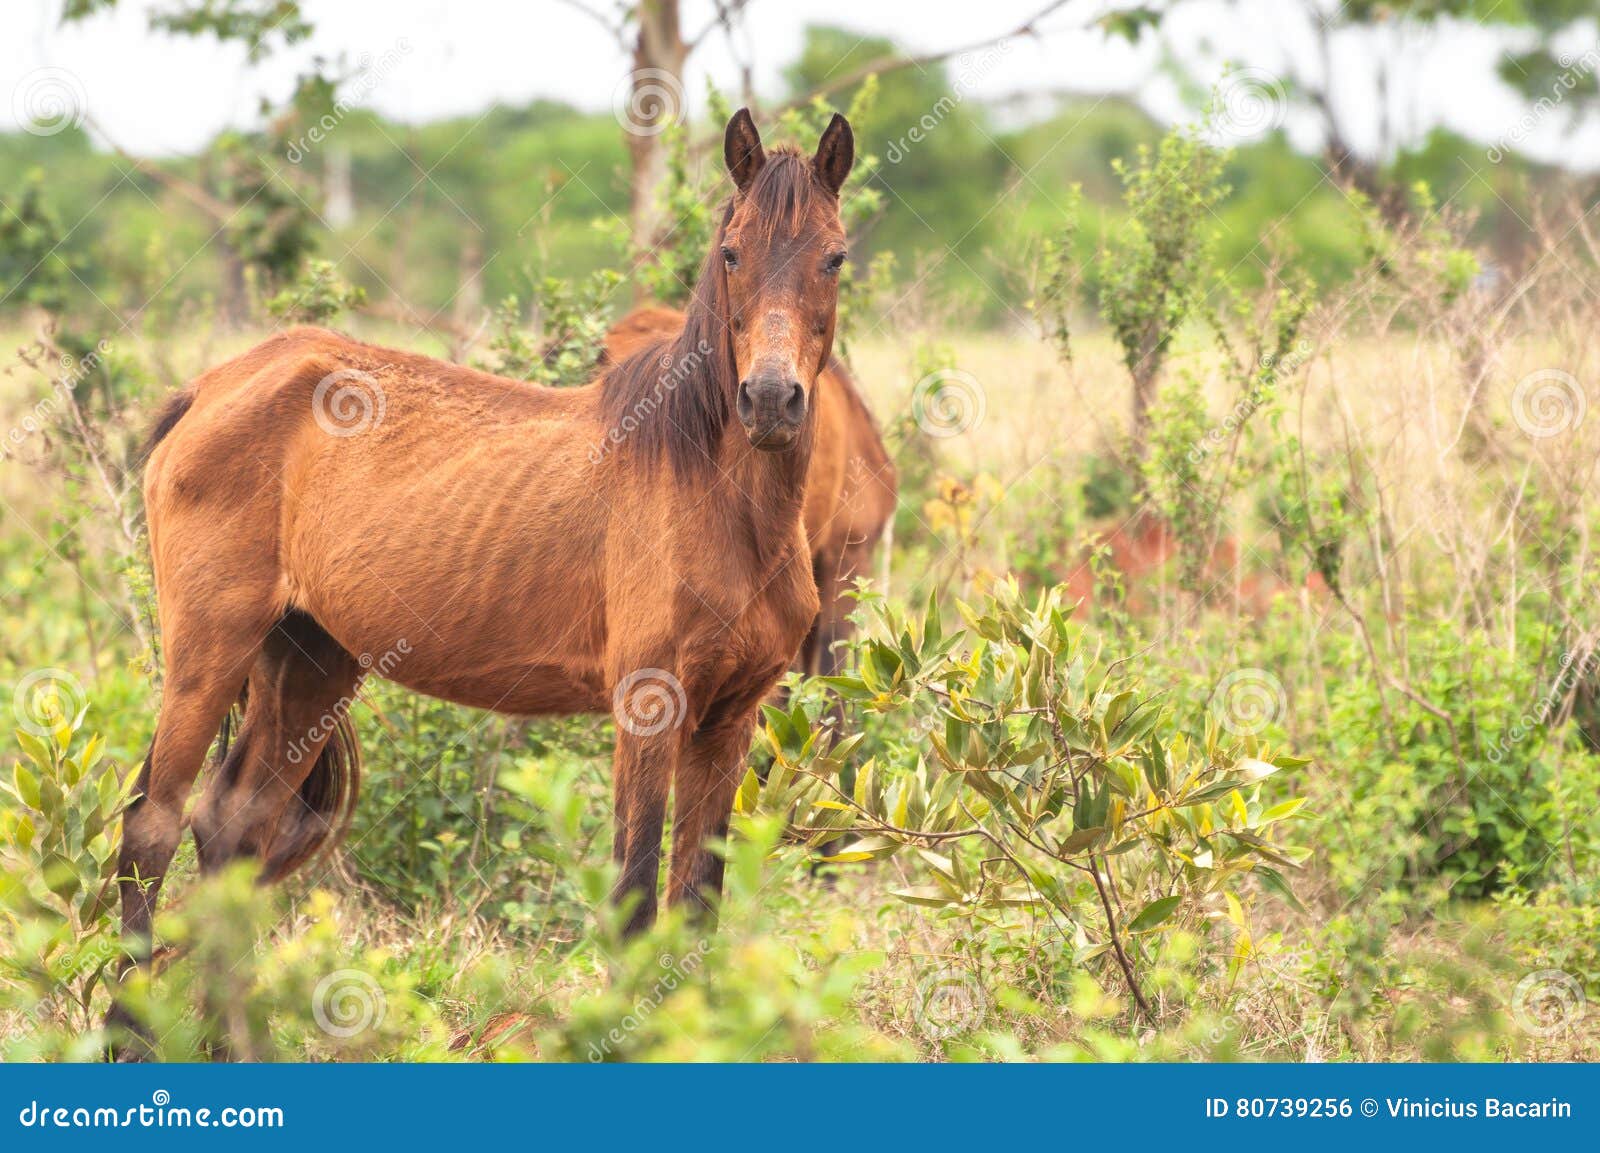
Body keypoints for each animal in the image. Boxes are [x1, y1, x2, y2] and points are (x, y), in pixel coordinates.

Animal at [114, 110, 856, 1039]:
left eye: (835, 256)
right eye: (730, 251)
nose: (769, 400)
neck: (713, 493)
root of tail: (212, 386)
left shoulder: (731, 717)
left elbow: (696, 908)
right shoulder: (649, 707)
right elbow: (635, 898)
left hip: (310, 662)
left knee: (231, 828)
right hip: (209, 650)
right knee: (152, 827)